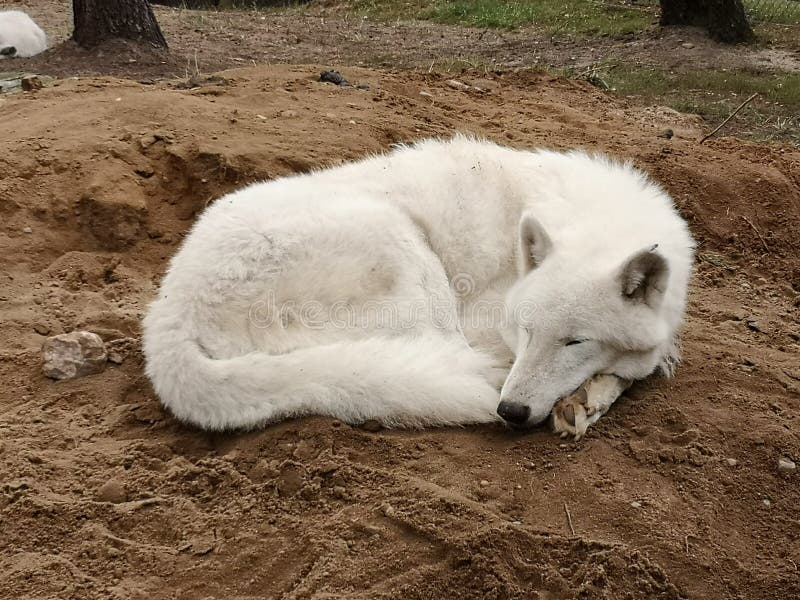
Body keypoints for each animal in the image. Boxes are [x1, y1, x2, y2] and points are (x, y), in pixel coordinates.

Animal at [143, 137, 694, 440]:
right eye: (525, 331)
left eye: (575, 341)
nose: (511, 412)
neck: (596, 217)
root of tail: (167, 317)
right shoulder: (488, 323)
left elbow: (636, 366)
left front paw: (588, 397)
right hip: (406, 248)